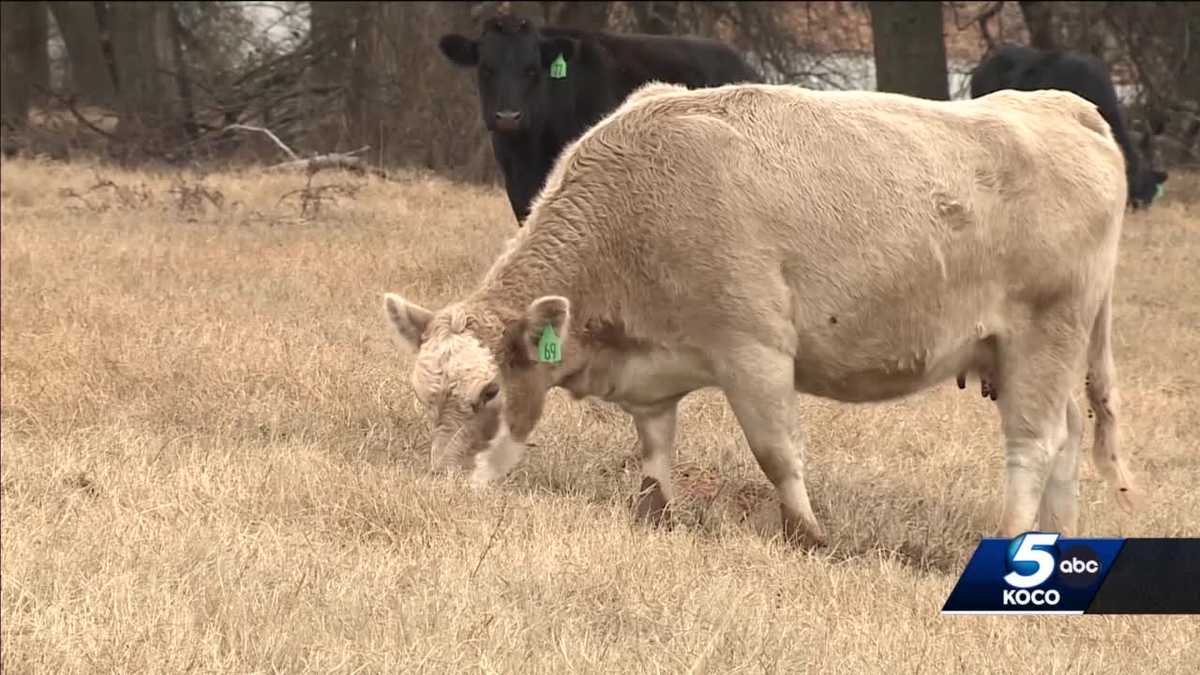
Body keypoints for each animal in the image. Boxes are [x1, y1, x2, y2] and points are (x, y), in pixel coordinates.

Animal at [383, 81, 1140, 546]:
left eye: (488, 392)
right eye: (423, 397)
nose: (441, 487)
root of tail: (1059, 105)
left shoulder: (754, 351)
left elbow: (778, 453)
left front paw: (810, 535)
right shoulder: (652, 370)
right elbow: (655, 449)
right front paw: (657, 513)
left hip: (1044, 335)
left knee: (1034, 442)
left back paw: (1011, 537)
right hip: (1031, 354)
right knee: (1069, 435)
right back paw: (1056, 538)